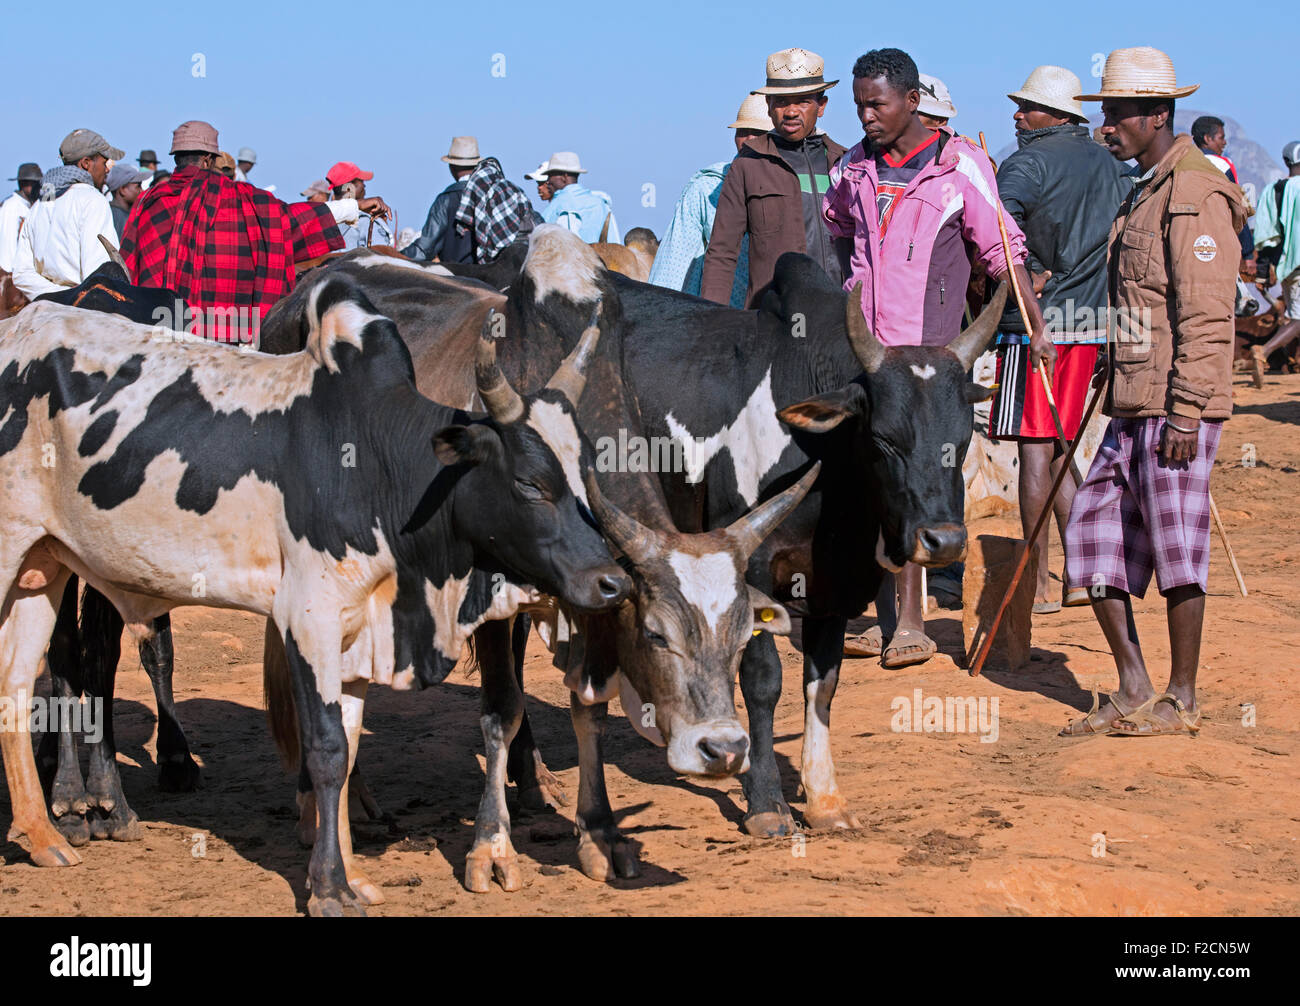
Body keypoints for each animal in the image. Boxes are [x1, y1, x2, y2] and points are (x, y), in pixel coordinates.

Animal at [0, 276, 632, 915]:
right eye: (529, 482)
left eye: (587, 477)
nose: (613, 581)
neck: (376, 466)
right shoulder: (309, 619)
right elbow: (327, 752)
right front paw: (329, 888)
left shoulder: (357, 635)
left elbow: (349, 750)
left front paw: (352, 877)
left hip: (44, 568)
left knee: (17, 683)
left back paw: (46, 836)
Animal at [257, 231, 819, 889]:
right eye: (656, 634)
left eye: (740, 634)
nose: (724, 750)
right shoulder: (486, 594)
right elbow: (500, 711)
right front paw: (491, 847)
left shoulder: (589, 594)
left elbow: (589, 706)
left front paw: (599, 834)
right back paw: (321, 809)